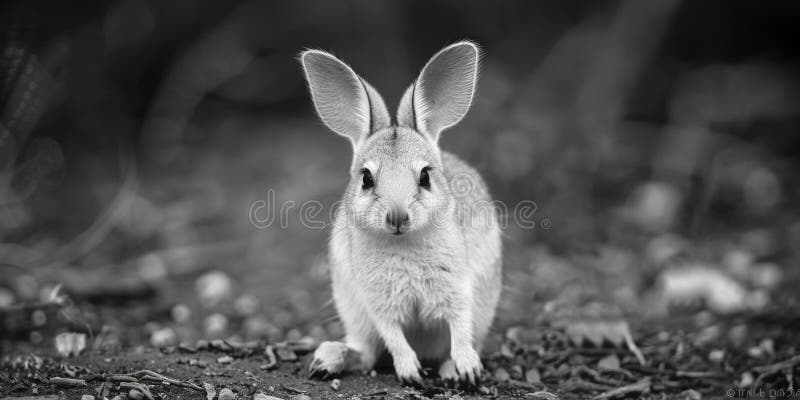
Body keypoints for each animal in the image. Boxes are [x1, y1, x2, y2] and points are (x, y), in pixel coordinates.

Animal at [300, 40, 502, 386]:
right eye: (366, 179)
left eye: (425, 177)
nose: (397, 217)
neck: (402, 243)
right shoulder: (379, 304)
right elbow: (394, 336)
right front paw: (410, 371)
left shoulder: (457, 290)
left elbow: (459, 329)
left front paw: (467, 368)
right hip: (355, 313)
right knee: (366, 354)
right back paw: (328, 359)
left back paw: (451, 371)